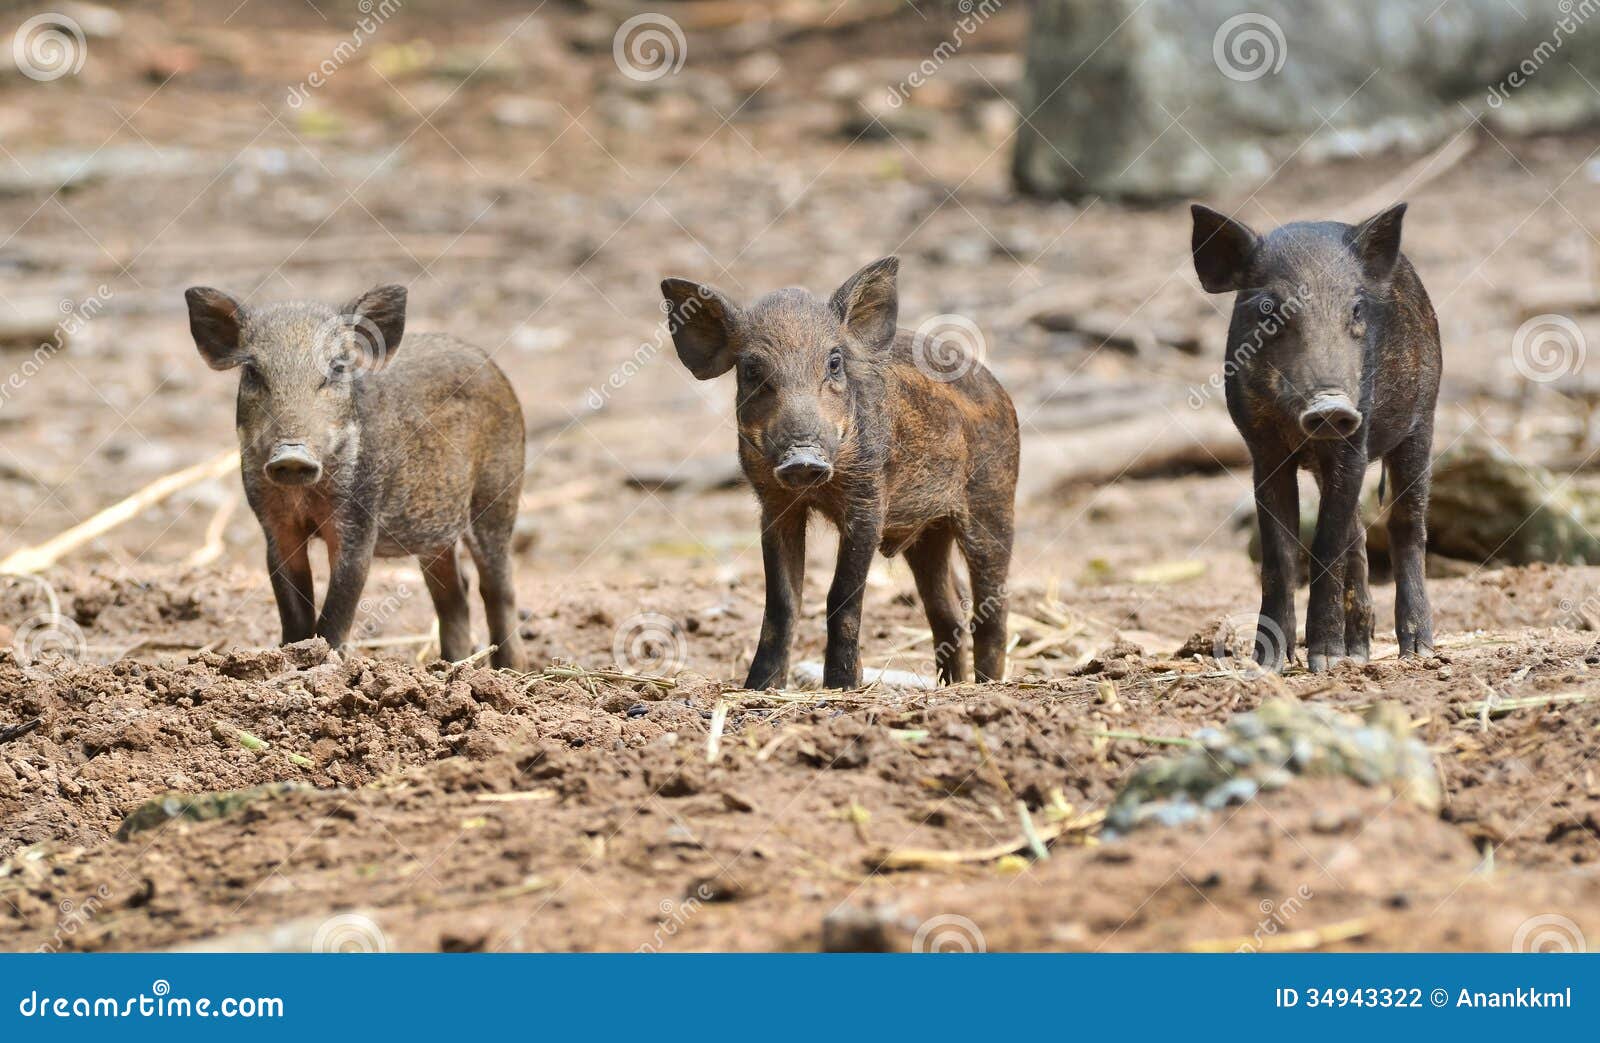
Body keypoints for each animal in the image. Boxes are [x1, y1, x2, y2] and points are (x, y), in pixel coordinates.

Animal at [184, 284, 527, 670]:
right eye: (253, 372)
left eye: (336, 367)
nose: (292, 455)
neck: (304, 496)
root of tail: (493, 367)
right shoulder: (275, 526)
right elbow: (293, 606)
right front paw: (290, 655)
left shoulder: (360, 520)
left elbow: (338, 607)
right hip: (436, 535)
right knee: (454, 592)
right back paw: (447, 668)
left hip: (498, 498)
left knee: (497, 588)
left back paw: (509, 670)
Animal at [661, 257, 1019, 690]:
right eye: (751, 369)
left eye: (834, 363)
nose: (802, 458)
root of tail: (997, 387)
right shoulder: (775, 507)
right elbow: (781, 602)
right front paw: (759, 687)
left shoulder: (868, 503)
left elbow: (842, 595)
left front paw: (843, 685)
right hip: (928, 535)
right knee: (947, 614)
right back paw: (953, 685)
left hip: (992, 504)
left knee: (993, 609)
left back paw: (988, 685)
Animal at [1190, 202, 1440, 673]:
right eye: (1268, 307)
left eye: (1357, 309)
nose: (1330, 407)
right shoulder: (1263, 450)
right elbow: (1279, 553)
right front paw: (1267, 663)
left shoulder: (1354, 442)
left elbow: (1325, 545)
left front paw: (1324, 661)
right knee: (1358, 537)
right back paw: (1358, 654)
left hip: (1423, 422)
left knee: (1407, 526)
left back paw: (1417, 651)